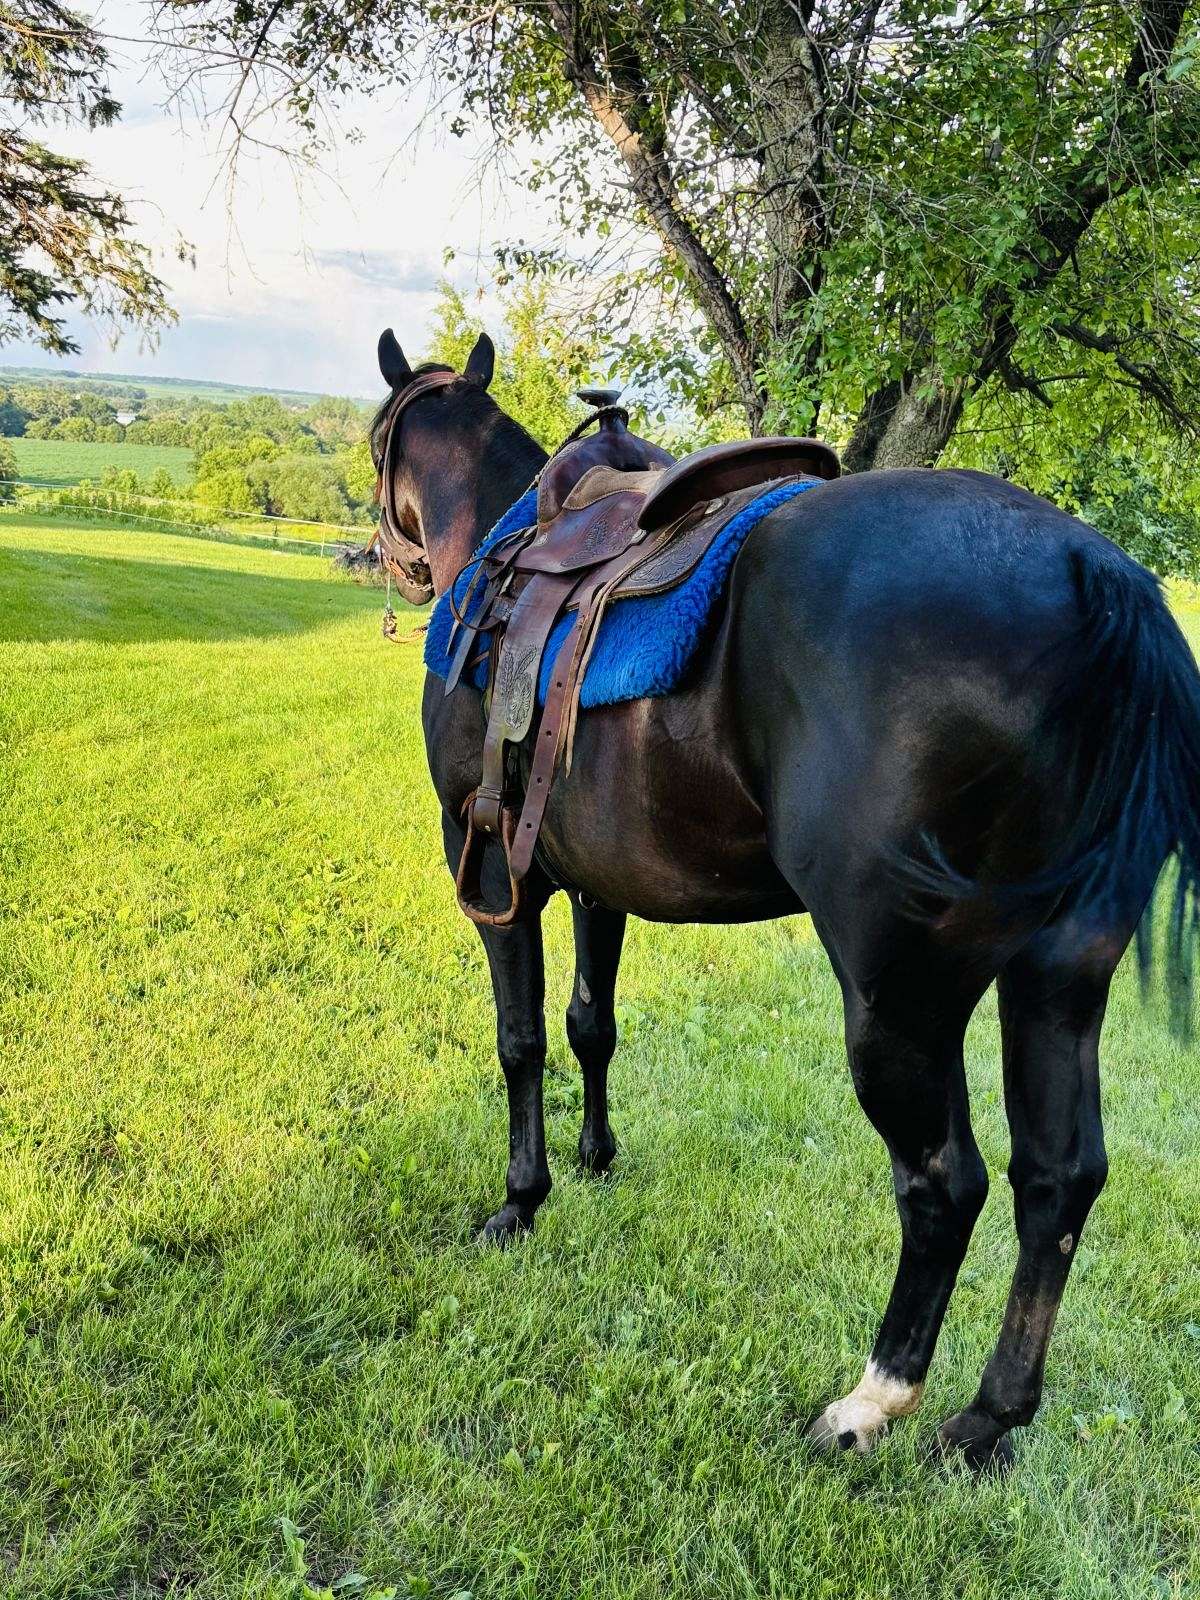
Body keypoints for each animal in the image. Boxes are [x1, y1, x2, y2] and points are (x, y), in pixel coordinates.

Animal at [370, 326, 1200, 1472]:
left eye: (377, 445)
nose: (391, 563)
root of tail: (1095, 575)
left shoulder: (494, 866)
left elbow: (522, 1039)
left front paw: (521, 1199)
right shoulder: (596, 881)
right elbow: (592, 1023)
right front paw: (595, 1156)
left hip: (899, 999)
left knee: (946, 1186)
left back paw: (872, 1399)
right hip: (1058, 977)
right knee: (1058, 1181)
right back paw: (987, 1419)